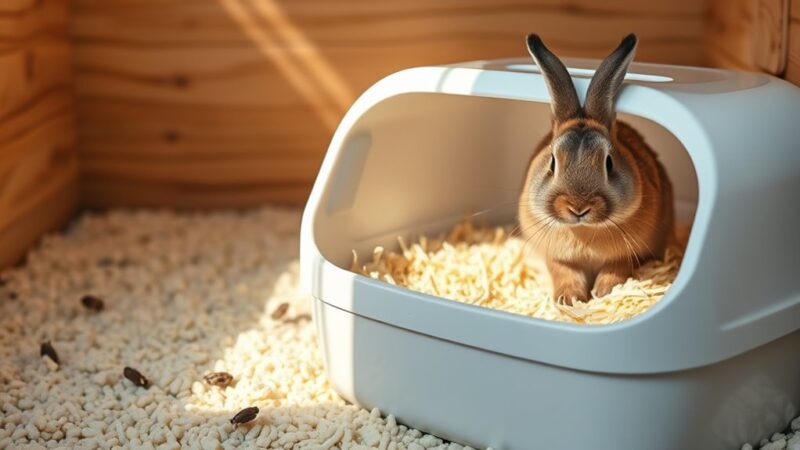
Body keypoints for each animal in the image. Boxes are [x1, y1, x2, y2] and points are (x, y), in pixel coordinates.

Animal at [518, 33, 675, 306]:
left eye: (609, 163)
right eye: (552, 162)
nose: (578, 207)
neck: (583, 229)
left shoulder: (628, 254)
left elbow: (616, 269)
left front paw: (604, 292)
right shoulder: (557, 258)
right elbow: (564, 272)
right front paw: (569, 298)